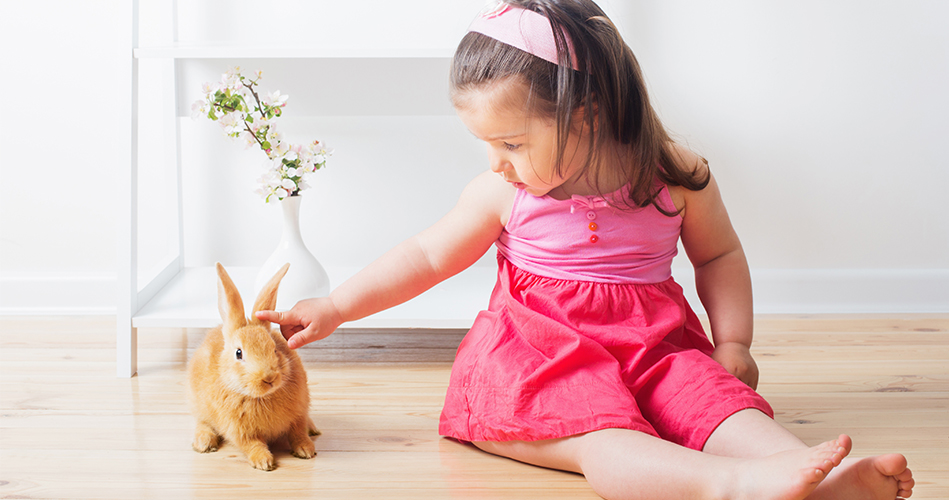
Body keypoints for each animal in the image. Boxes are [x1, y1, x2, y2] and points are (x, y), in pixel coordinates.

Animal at [188, 262, 320, 471]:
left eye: (275, 348)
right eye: (238, 353)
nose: (269, 378)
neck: (261, 398)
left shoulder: (298, 415)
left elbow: (298, 433)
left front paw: (306, 450)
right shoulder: (239, 431)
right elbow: (253, 444)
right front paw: (264, 462)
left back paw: (313, 429)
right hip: (199, 406)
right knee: (202, 422)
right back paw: (204, 443)